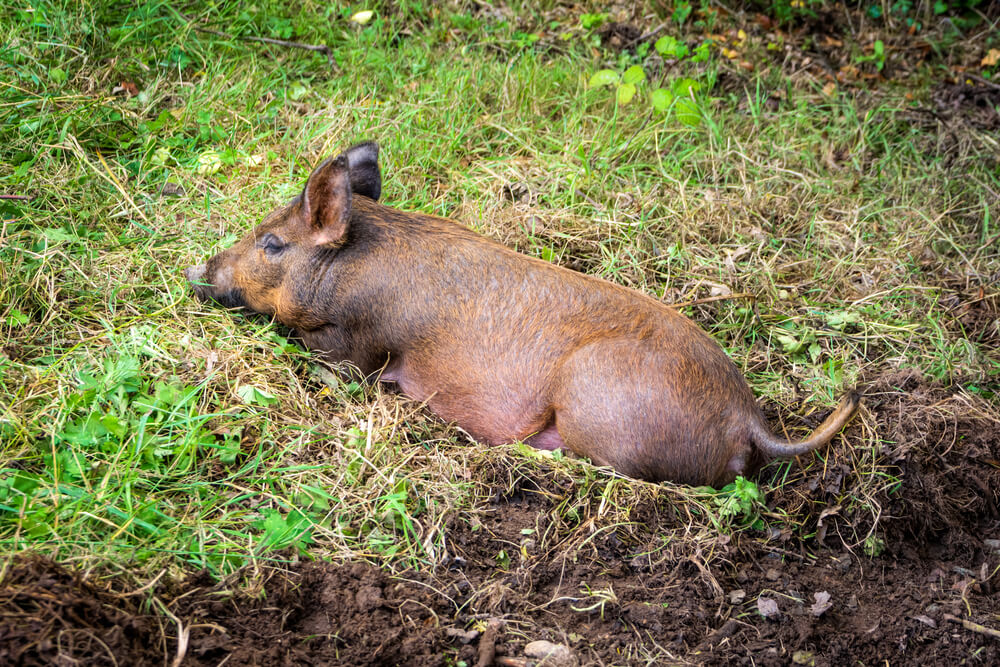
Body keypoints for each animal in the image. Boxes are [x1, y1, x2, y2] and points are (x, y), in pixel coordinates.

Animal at [185, 142, 859, 487]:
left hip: (596, 403)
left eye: (272, 244)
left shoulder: (357, 343)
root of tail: (749, 421)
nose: (199, 272)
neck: (346, 270)